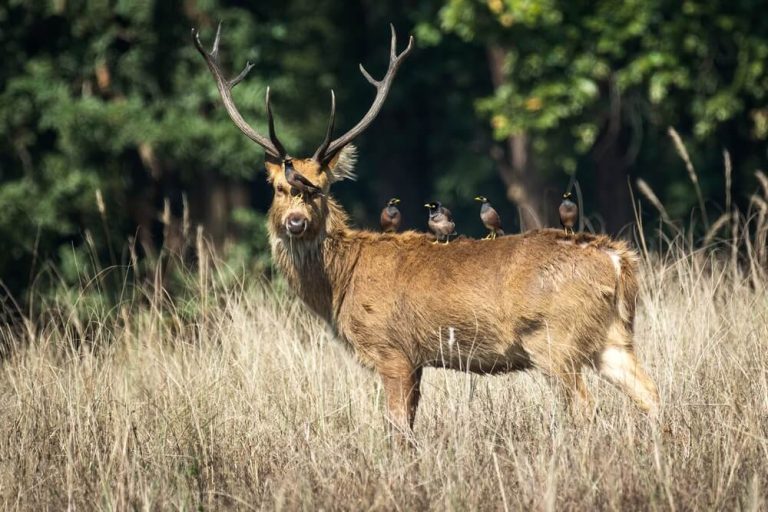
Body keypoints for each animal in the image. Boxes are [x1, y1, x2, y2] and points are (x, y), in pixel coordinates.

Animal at [192, 23, 660, 438]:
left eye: (321, 188)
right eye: (278, 188)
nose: (295, 222)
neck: (341, 284)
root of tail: (617, 261)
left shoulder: (392, 349)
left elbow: (398, 429)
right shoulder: (416, 359)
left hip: (554, 338)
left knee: (584, 405)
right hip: (612, 337)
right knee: (651, 392)